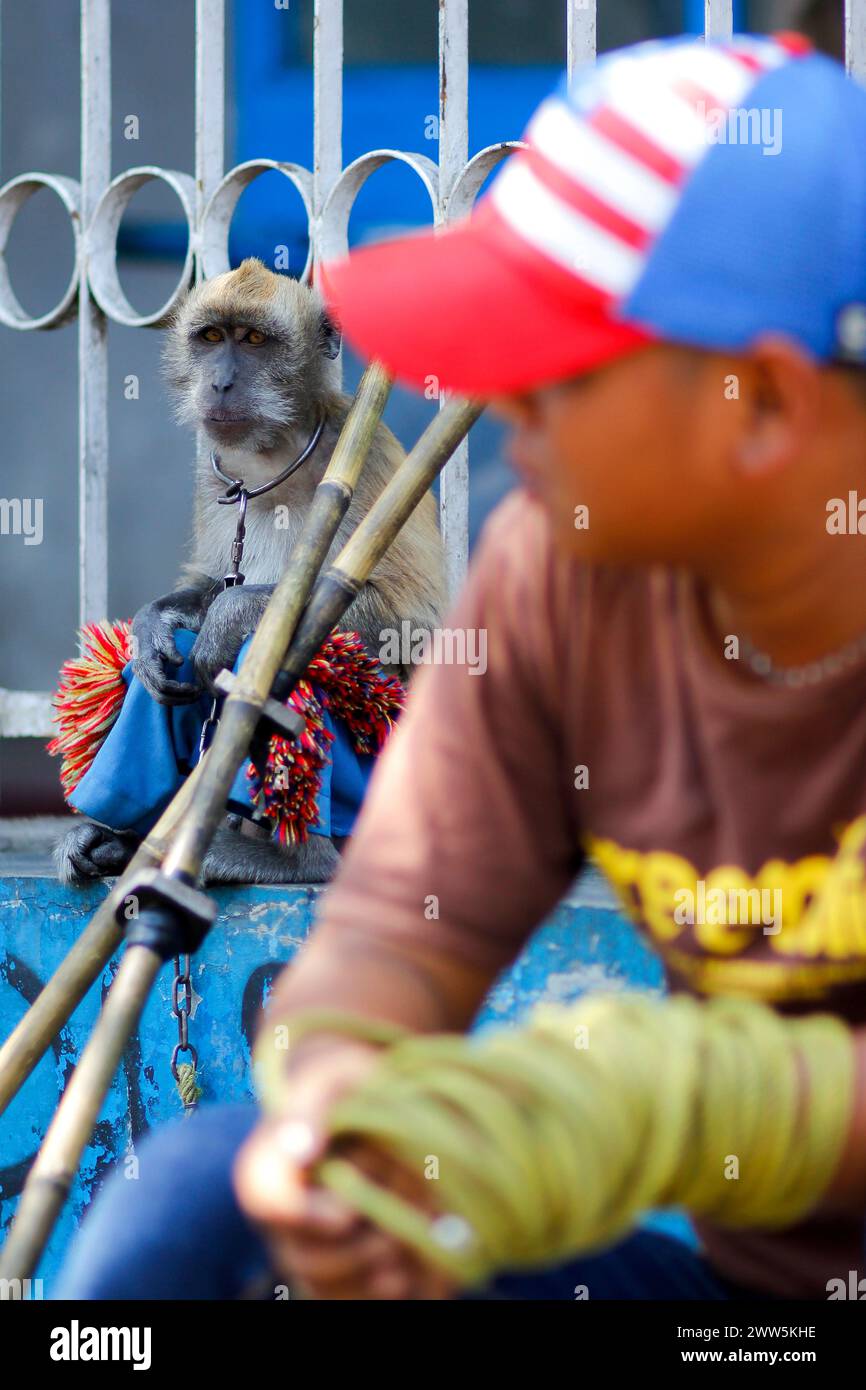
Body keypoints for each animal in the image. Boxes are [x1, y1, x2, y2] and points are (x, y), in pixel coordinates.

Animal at [56, 259, 446, 887]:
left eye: (256, 340)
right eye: (213, 338)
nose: (221, 383)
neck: (276, 452)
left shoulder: (370, 460)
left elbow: (414, 627)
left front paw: (228, 615)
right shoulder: (212, 475)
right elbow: (202, 585)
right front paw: (154, 623)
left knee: (294, 656)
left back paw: (291, 858)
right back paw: (119, 839)